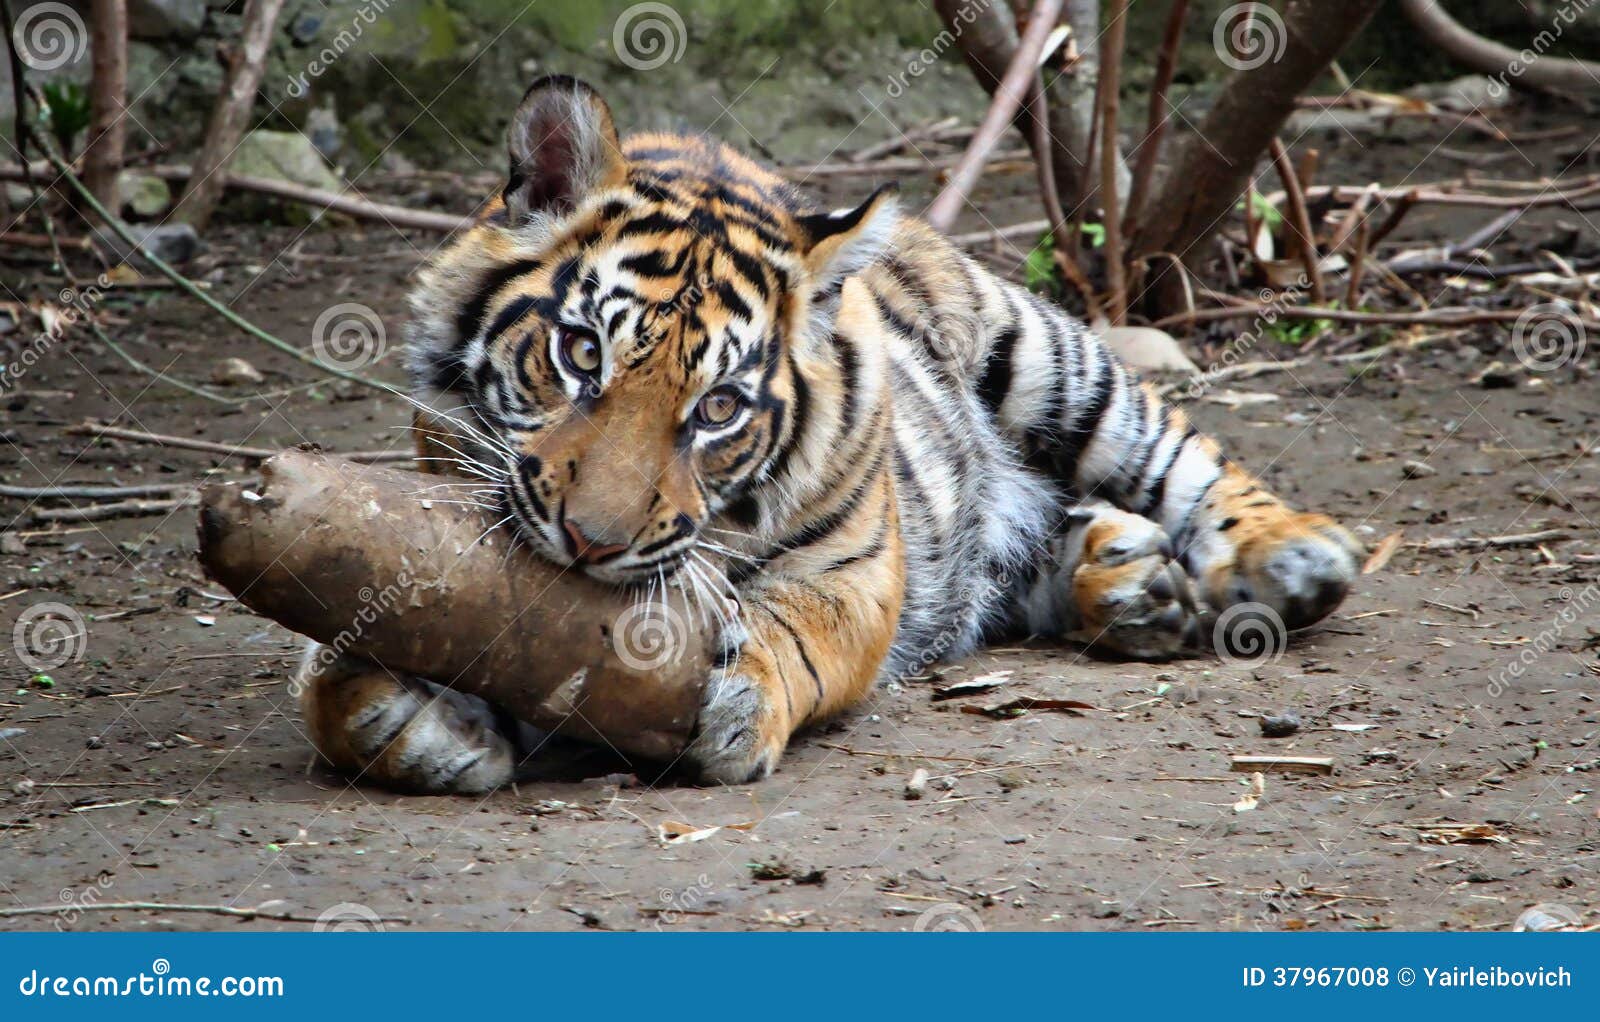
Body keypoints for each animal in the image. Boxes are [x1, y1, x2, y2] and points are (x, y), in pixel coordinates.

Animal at [296, 76, 1361, 792]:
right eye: (580, 351)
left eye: (717, 409)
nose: (589, 544)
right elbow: (342, 673)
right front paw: (398, 712)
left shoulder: (861, 570)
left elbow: (801, 632)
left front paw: (744, 699)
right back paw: (1129, 583)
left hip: (1040, 353)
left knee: (1171, 446)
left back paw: (1289, 558)